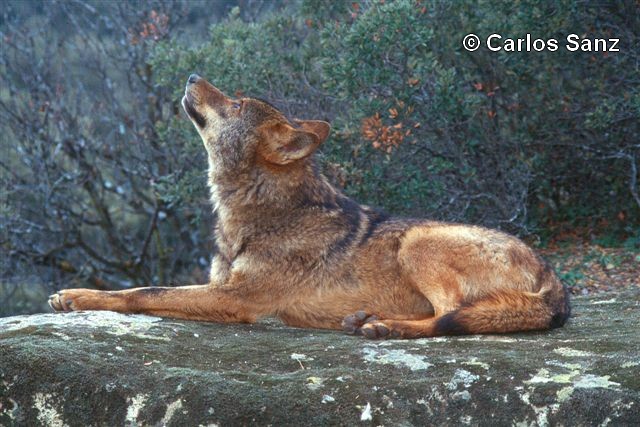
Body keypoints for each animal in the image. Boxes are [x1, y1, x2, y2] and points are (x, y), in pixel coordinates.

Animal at [49, 74, 570, 339]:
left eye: (236, 105)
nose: (194, 74)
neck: (258, 216)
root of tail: (556, 282)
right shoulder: (220, 284)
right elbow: (147, 287)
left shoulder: (235, 299)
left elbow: (144, 291)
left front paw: (79, 297)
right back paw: (363, 320)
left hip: (418, 241)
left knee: (451, 316)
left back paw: (384, 327)